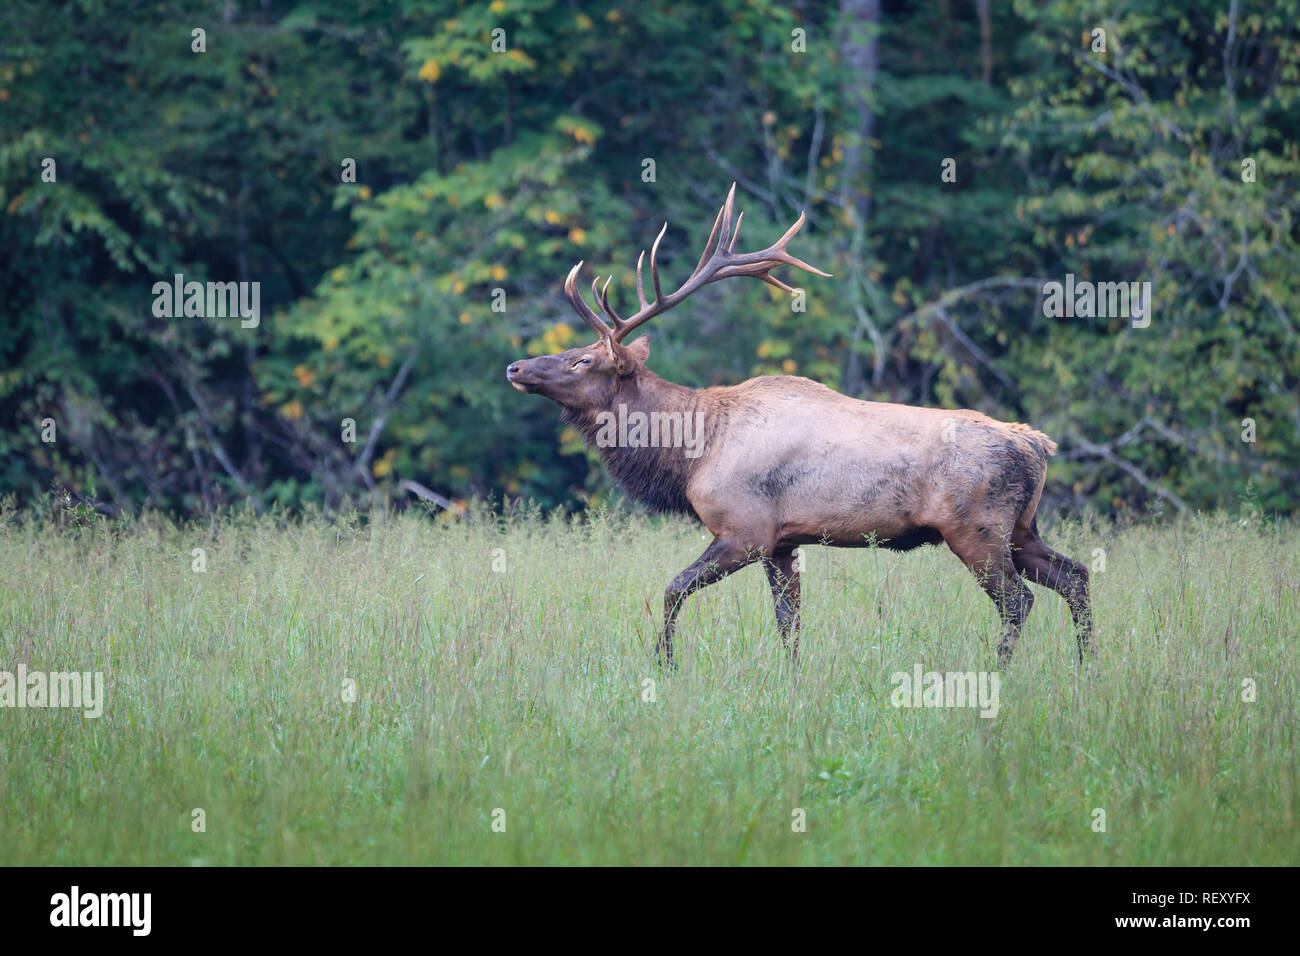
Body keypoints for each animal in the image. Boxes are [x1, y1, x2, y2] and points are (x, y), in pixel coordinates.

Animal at [506, 185, 1094, 669]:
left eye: (584, 360)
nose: (515, 367)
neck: (690, 453)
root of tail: (1037, 444)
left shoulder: (744, 529)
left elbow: (673, 589)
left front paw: (664, 664)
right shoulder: (782, 542)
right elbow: (789, 624)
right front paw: (791, 680)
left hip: (976, 529)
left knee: (1020, 601)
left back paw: (1002, 672)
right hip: (1022, 528)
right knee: (1078, 578)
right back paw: (1086, 669)